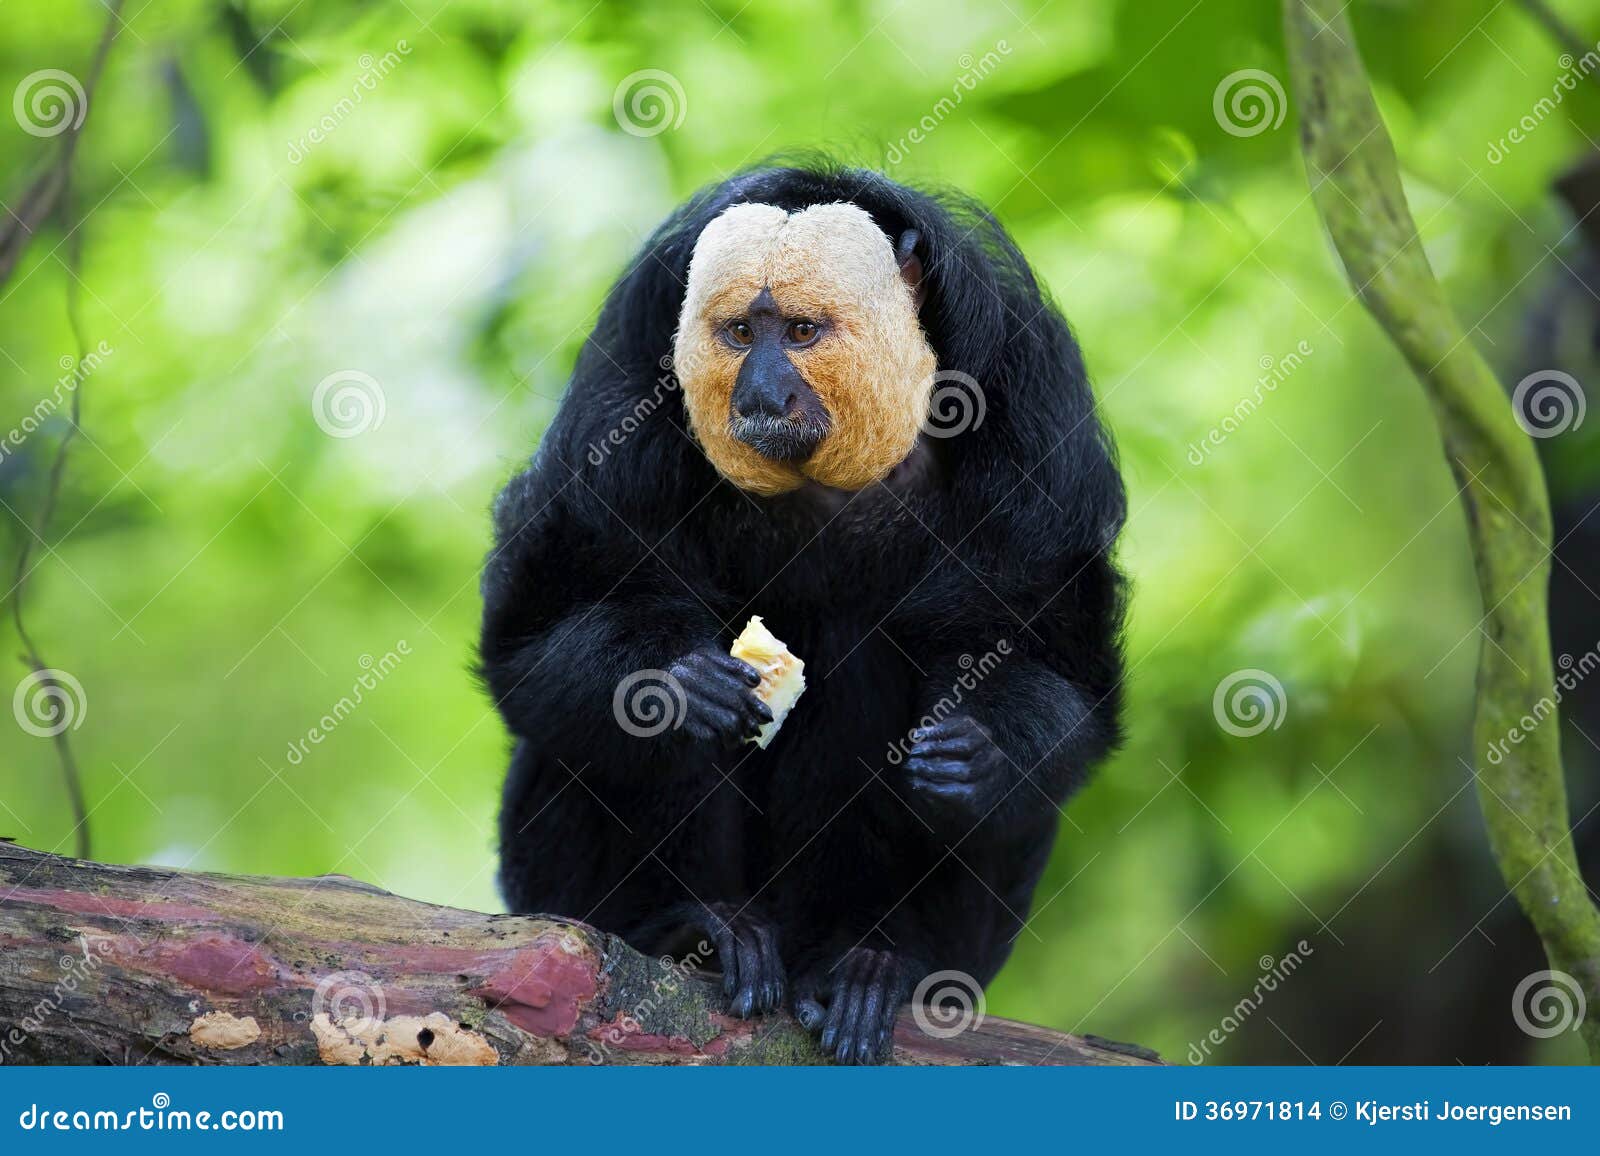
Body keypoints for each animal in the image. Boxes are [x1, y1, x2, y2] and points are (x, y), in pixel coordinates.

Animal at [480, 162, 1126, 1064]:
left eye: (799, 331)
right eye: (739, 333)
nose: (760, 393)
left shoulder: (1034, 403)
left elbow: (1047, 656)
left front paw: (984, 753)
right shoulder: (623, 386)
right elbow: (534, 632)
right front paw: (676, 687)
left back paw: (875, 965)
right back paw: (697, 930)